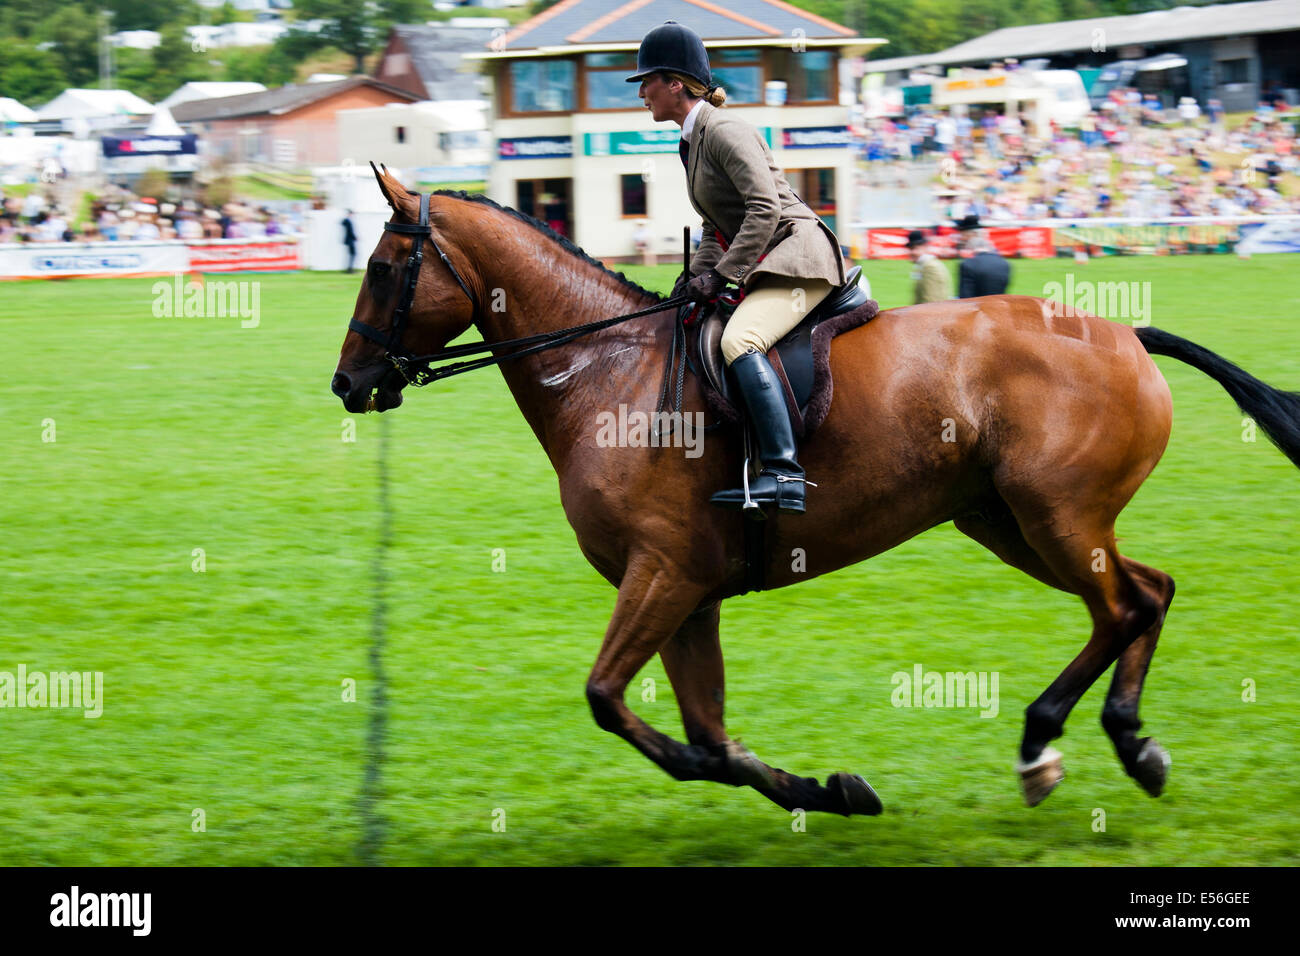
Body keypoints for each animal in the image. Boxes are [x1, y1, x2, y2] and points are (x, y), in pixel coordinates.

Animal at [332, 167, 1300, 816]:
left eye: (380, 269)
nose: (347, 384)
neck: (604, 369)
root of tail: (1126, 335)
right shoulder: (687, 592)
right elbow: (706, 740)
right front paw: (829, 789)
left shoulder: (664, 574)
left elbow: (615, 703)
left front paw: (824, 789)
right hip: (1009, 522)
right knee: (1143, 596)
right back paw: (1116, 742)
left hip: (1056, 516)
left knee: (1126, 605)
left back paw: (1059, 739)